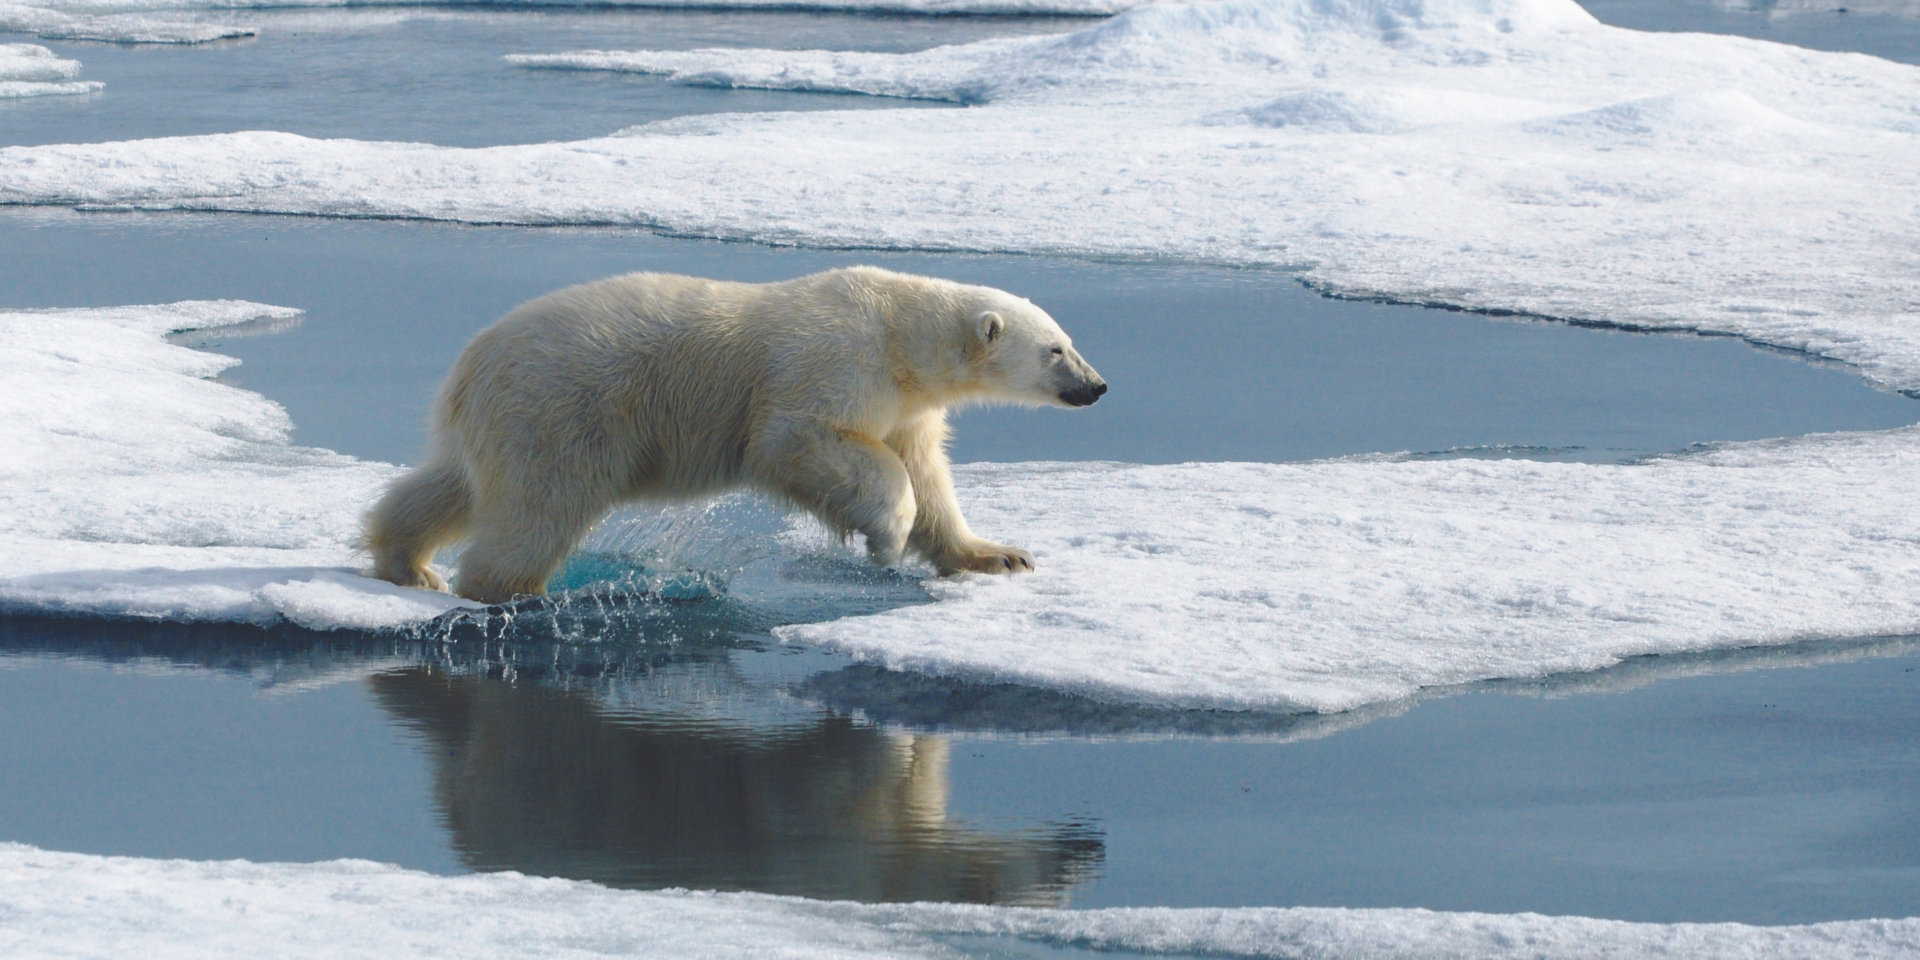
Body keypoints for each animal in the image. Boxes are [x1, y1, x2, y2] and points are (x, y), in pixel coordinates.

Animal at [364, 266, 1107, 604]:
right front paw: (885, 539)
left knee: (452, 486)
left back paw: (409, 562)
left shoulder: (908, 405)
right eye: (1056, 351)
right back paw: (511, 591)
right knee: (538, 508)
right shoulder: (832, 364)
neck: (899, 331)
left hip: (505, 421)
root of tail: (470, 365)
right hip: (562, 410)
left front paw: (999, 555)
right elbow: (797, 441)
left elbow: (928, 475)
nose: (1098, 386)